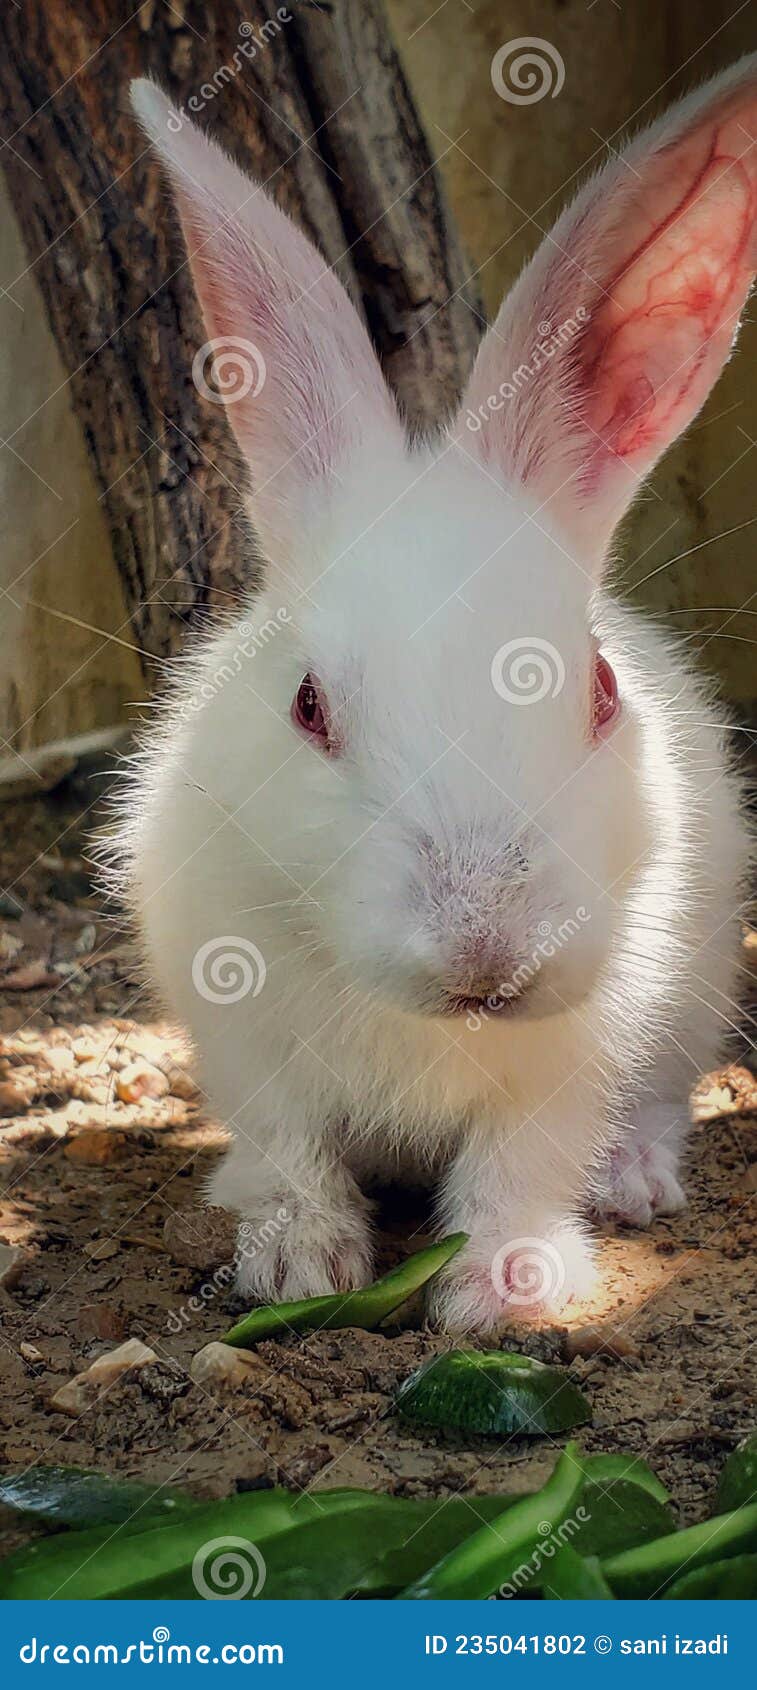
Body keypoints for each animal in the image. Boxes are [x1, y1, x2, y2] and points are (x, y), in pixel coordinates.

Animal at [112, 62, 756, 1334]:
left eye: (599, 690)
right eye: (309, 707)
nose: (486, 949)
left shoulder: (572, 1057)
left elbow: (520, 1164)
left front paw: (505, 1290)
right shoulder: (242, 1036)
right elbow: (291, 1148)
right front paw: (298, 1261)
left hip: (699, 980)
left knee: (660, 1096)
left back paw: (636, 1179)